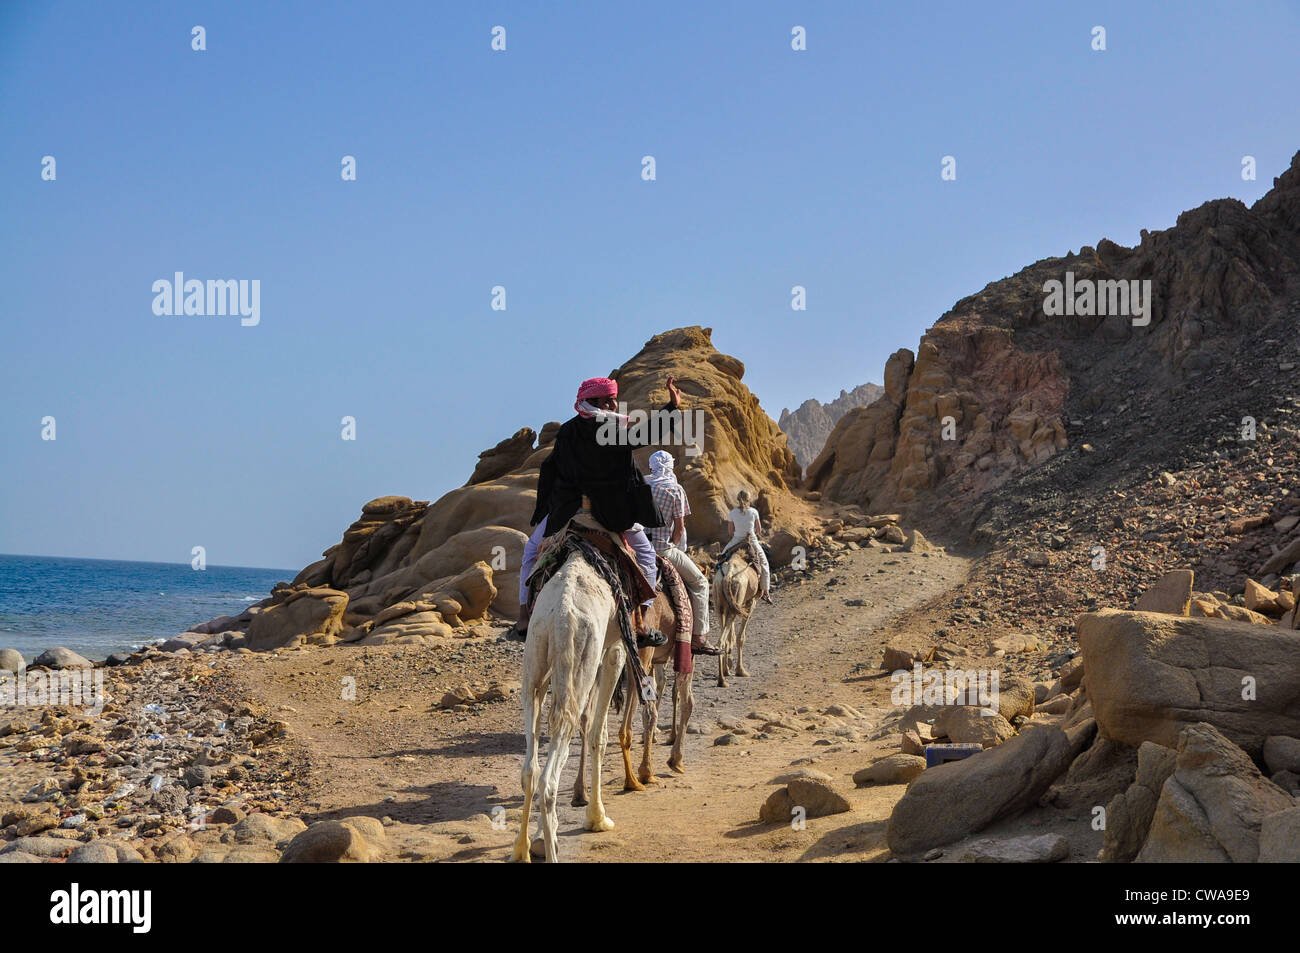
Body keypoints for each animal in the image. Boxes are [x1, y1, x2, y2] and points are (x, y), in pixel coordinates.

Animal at [510, 550, 626, 864]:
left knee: (530, 769)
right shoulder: (614, 651)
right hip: (580, 662)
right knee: (549, 778)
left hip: (536, 658)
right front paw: (598, 818)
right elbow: (599, 735)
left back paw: (522, 850)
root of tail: (562, 615)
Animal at [712, 549, 760, 687]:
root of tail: (728, 575)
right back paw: (722, 681)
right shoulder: (750, 603)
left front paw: (728, 668)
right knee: (723, 640)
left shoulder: (730, 606)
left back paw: (723, 677)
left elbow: (731, 637)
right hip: (738, 597)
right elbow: (740, 638)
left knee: (722, 639)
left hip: (719, 602)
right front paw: (741, 671)